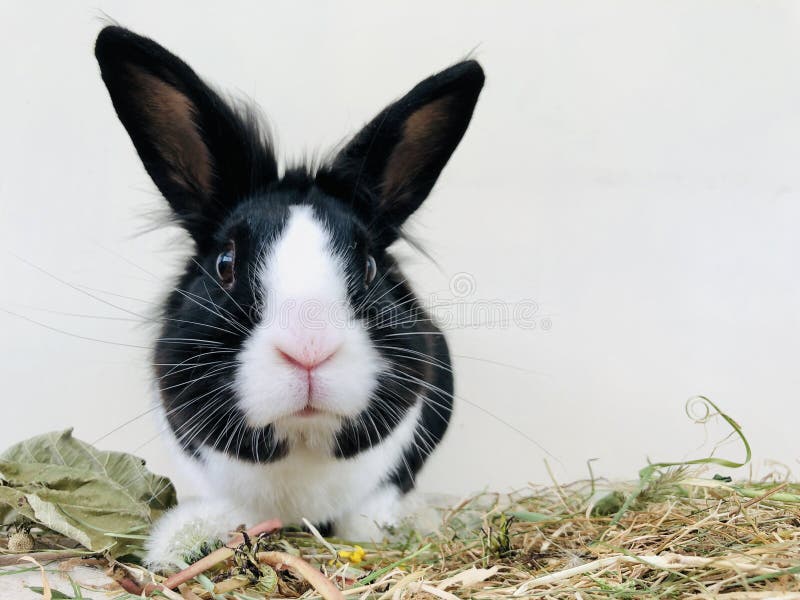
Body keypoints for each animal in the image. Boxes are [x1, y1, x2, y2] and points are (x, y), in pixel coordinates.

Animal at [94, 25, 484, 569]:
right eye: (226, 264)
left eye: (369, 266)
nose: (308, 350)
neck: (302, 440)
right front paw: (187, 539)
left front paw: (378, 531)